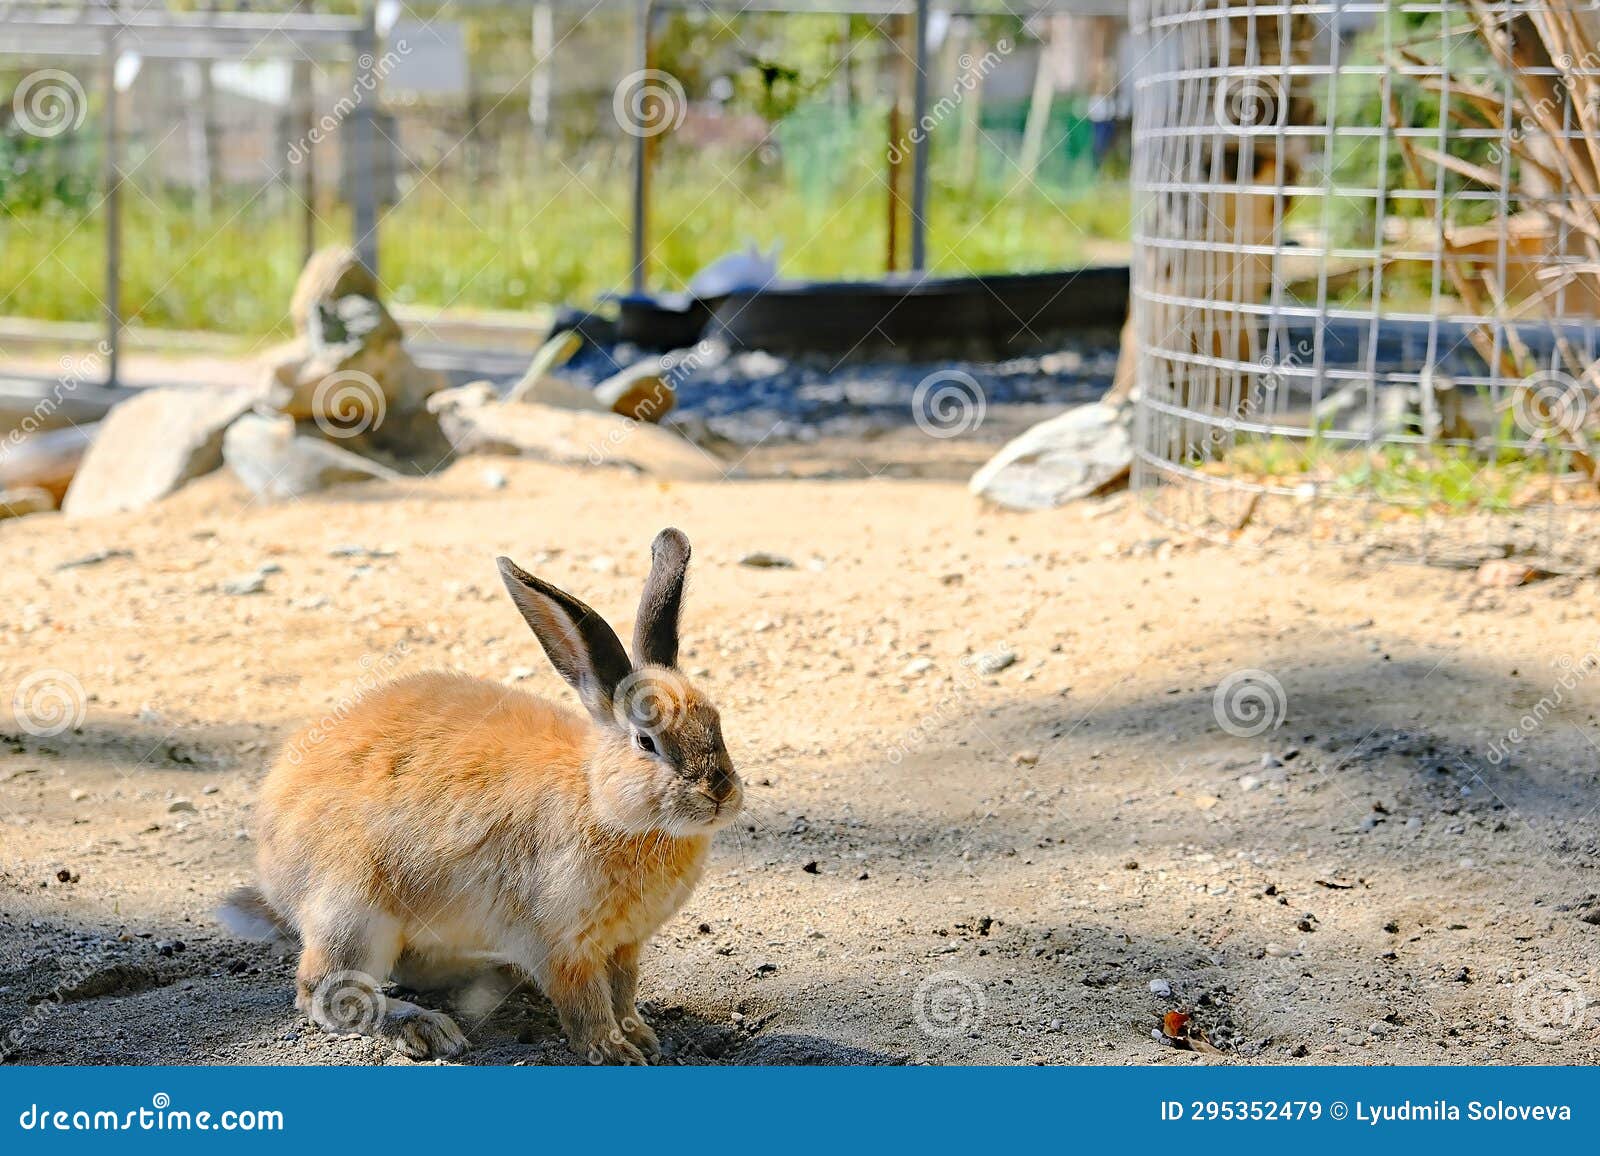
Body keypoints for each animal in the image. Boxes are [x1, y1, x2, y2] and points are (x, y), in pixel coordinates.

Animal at [219, 528, 741, 1064]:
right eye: (645, 741)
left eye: (717, 721)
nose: (721, 792)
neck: (601, 803)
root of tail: (272, 865)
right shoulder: (560, 945)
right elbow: (586, 1003)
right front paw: (613, 1051)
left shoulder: (624, 946)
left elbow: (623, 992)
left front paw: (643, 1039)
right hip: (353, 914)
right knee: (325, 991)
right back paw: (426, 1028)